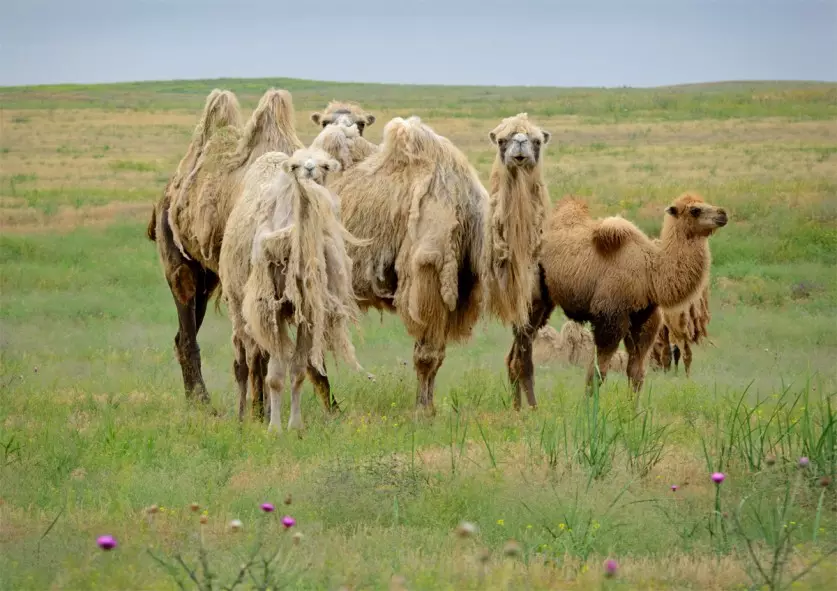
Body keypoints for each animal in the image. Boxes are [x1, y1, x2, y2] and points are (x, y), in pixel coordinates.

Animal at [147, 89, 304, 412]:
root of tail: (166, 196)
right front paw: (257, 411)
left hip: (210, 279)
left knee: (183, 333)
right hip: (180, 263)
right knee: (186, 325)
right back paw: (201, 401)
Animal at [506, 192, 728, 400]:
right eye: (695, 210)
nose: (722, 214)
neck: (650, 273)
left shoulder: (644, 320)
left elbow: (636, 374)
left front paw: (632, 412)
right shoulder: (610, 318)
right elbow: (597, 374)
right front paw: (588, 411)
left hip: (543, 303)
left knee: (513, 357)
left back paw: (518, 408)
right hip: (531, 298)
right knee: (522, 357)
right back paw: (531, 409)